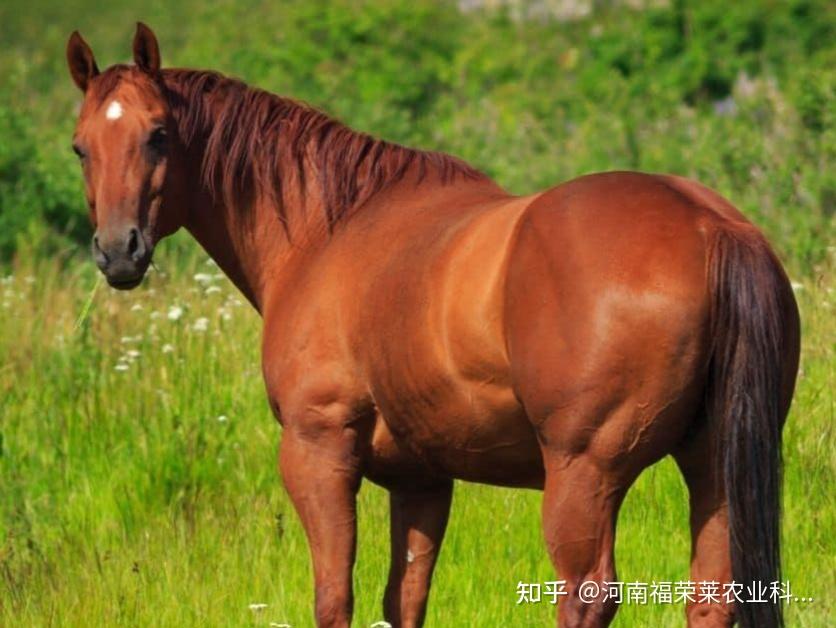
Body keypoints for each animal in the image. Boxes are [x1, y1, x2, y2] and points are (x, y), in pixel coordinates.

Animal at [66, 23, 800, 628]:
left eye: (158, 134)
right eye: (80, 148)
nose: (118, 251)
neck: (328, 231)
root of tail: (710, 226)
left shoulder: (317, 449)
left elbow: (335, 598)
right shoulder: (420, 480)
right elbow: (405, 600)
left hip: (585, 471)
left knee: (587, 594)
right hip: (711, 461)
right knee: (712, 596)